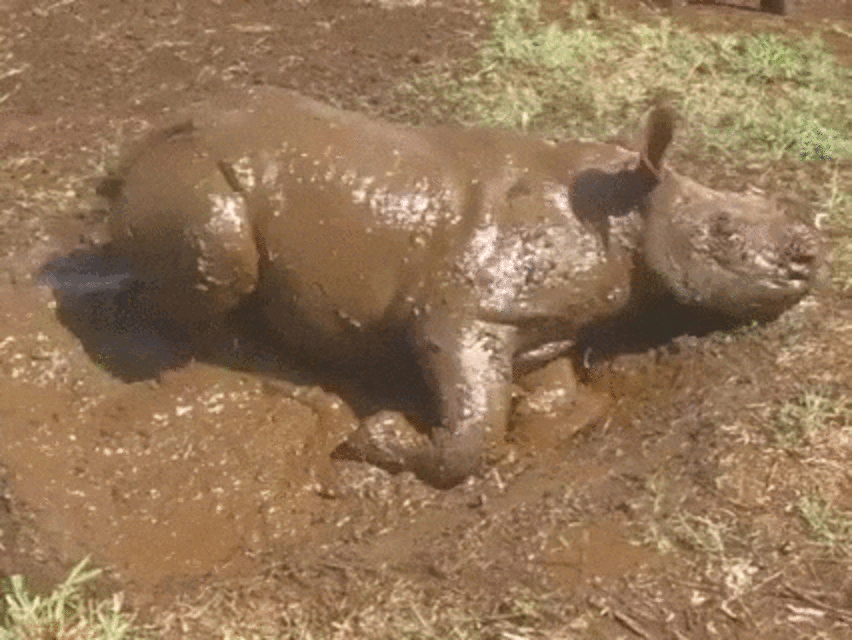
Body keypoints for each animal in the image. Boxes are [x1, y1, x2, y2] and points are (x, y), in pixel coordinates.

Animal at [97, 87, 819, 488]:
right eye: (723, 230)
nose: (809, 256)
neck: (628, 216)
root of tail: (130, 155)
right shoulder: (460, 311)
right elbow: (472, 432)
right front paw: (376, 437)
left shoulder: (547, 319)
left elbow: (548, 388)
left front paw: (558, 416)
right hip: (193, 167)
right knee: (215, 254)